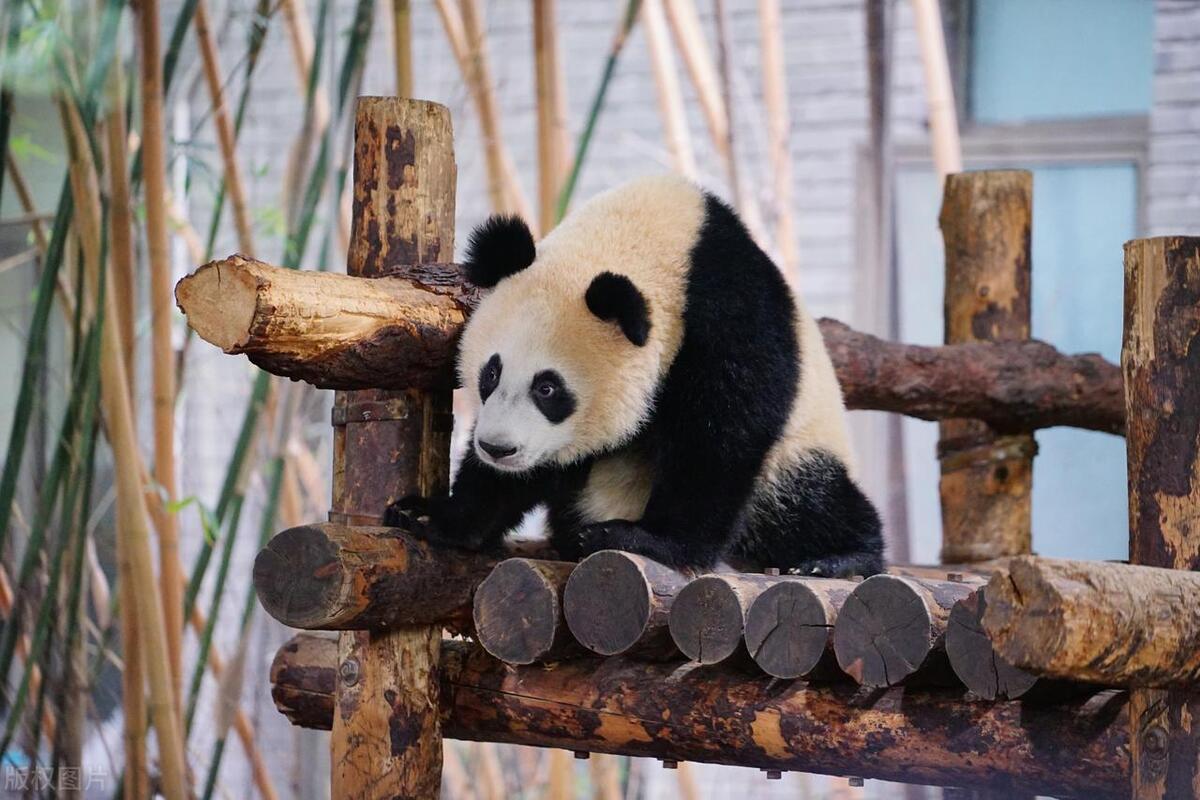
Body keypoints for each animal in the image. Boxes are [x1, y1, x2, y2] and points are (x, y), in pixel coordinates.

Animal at [385, 175, 884, 577]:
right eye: (490, 374)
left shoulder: (727, 319)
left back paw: (838, 556)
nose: (497, 448)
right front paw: (432, 516)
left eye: (548, 388)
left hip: (798, 450)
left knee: (805, 499)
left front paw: (645, 540)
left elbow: (723, 437)